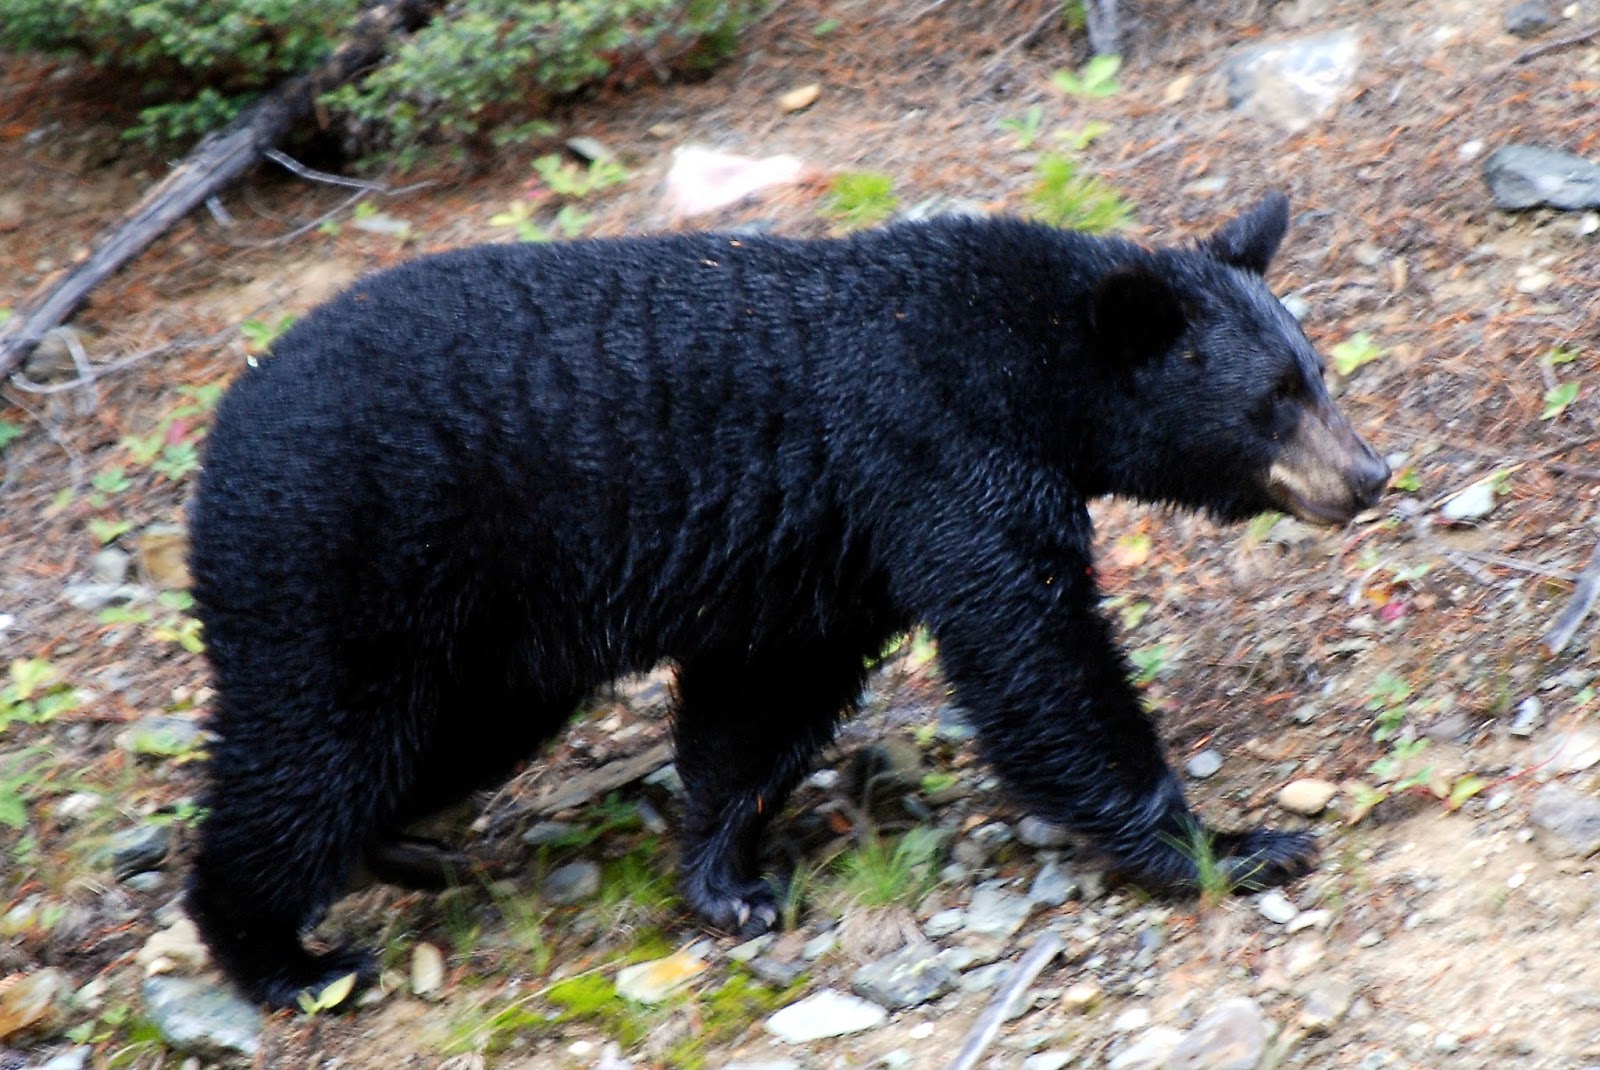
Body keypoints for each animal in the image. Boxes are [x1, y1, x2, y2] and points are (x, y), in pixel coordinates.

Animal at [185, 192, 1389, 1007]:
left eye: (1316, 370)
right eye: (1274, 399)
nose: (1370, 473)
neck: (1030, 362)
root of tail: (224, 427)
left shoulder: (833, 548)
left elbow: (762, 702)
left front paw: (727, 881)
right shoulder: (938, 453)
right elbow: (1038, 660)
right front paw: (1231, 844)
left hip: (484, 634)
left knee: (441, 738)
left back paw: (405, 850)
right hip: (343, 560)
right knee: (314, 749)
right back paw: (284, 958)